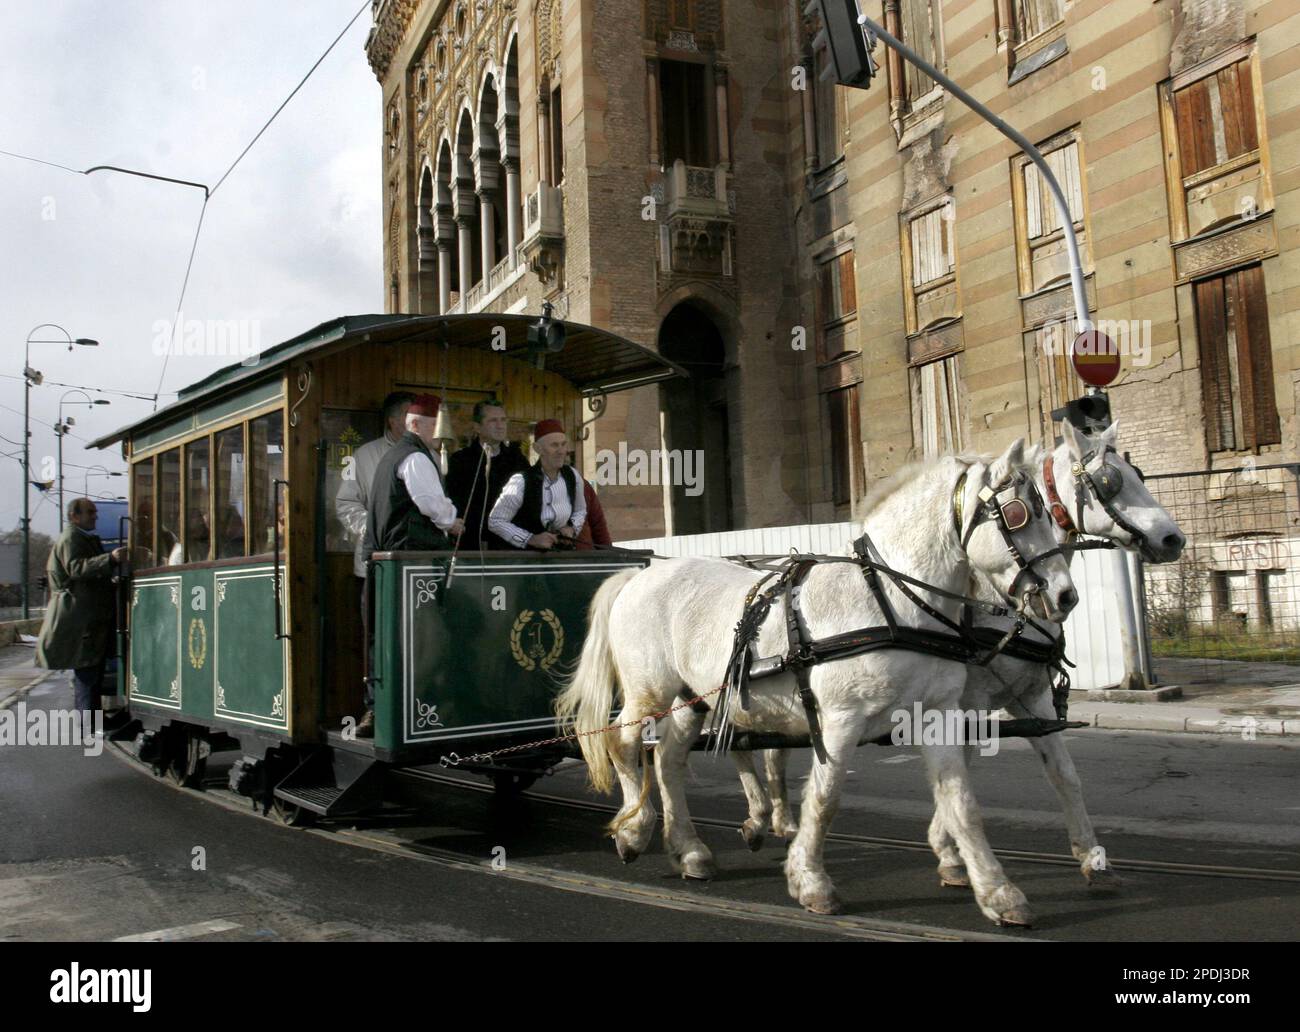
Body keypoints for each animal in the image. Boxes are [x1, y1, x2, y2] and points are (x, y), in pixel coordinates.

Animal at [557, 438, 1079, 926]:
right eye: (1016, 514)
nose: (1065, 595)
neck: (890, 599)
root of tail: (639, 574)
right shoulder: (841, 720)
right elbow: (825, 799)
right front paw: (810, 880)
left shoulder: (939, 715)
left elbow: (962, 803)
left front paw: (997, 891)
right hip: (651, 692)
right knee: (624, 744)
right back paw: (634, 828)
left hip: (692, 701)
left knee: (667, 761)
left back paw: (689, 850)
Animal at [740, 419, 1187, 892]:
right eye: (1109, 482)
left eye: (1138, 474)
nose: (1173, 538)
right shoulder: (968, 701)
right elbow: (962, 770)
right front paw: (950, 850)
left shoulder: (1030, 696)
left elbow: (1063, 774)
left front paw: (1090, 856)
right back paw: (763, 818)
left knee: (766, 744)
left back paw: (774, 817)